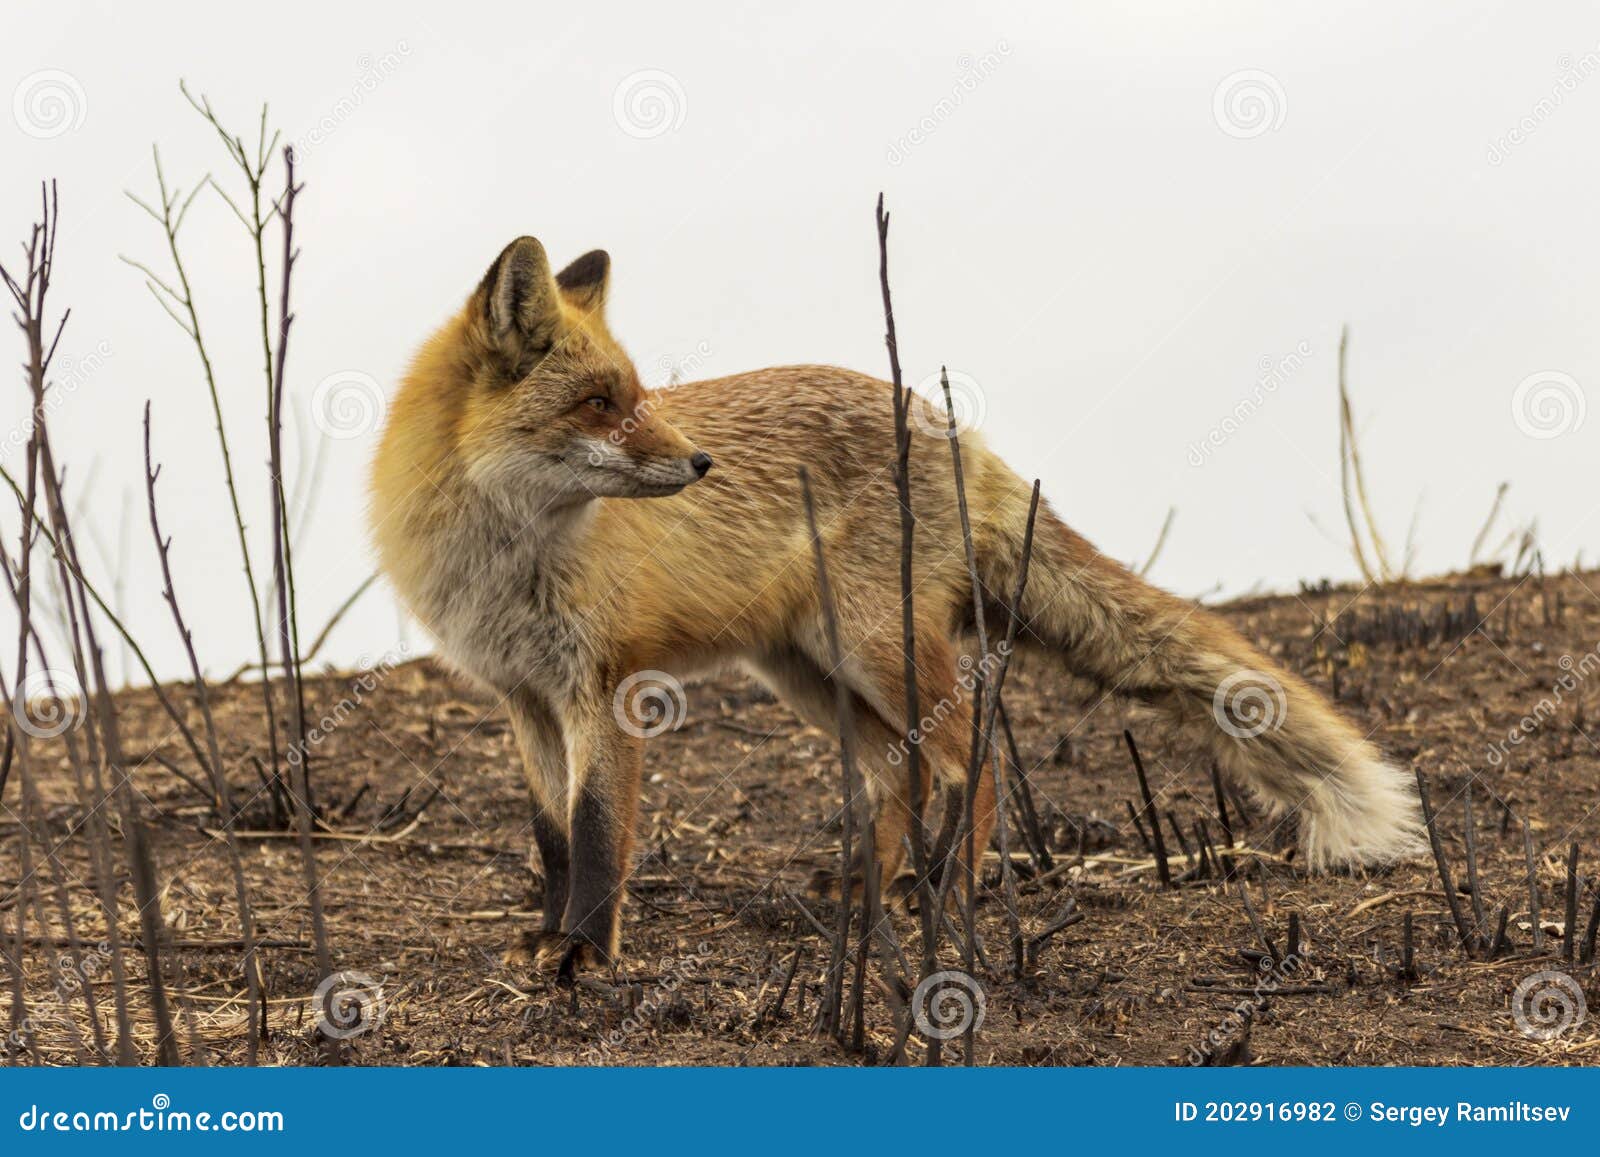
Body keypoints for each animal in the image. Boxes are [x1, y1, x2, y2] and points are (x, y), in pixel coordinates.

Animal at [369, 235, 1427, 977]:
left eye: (638, 394)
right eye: (598, 402)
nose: (702, 463)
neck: (501, 552)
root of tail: (948, 422)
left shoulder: (606, 685)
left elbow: (596, 834)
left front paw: (587, 953)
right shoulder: (524, 696)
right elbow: (552, 836)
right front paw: (547, 937)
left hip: (879, 652)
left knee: (977, 756)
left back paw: (947, 902)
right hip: (812, 670)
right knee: (902, 773)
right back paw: (863, 904)